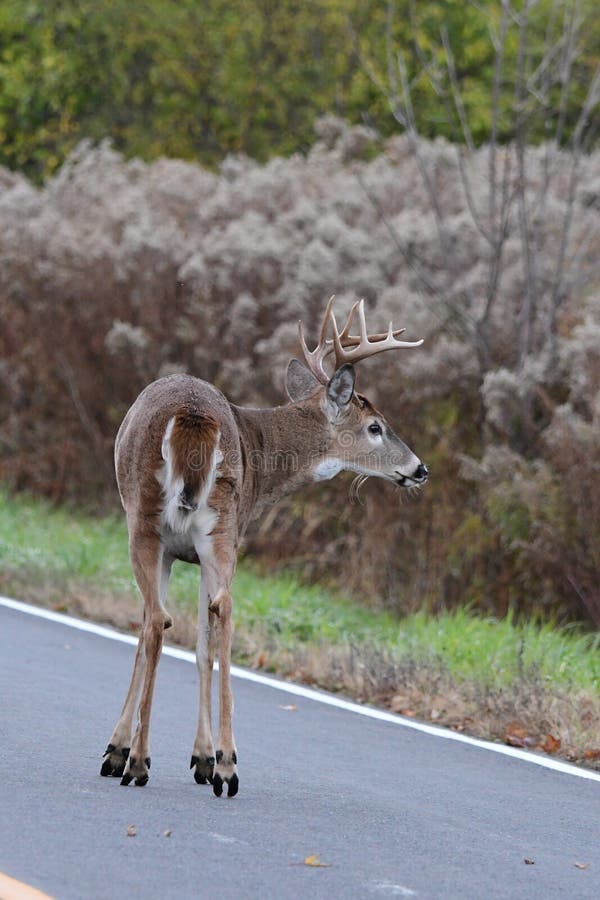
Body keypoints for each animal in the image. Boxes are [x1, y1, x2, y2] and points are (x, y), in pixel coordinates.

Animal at [100, 297, 428, 797]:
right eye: (376, 426)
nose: (420, 468)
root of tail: (195, 420)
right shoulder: (201, 546)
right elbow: (198, 645)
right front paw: (198, 758)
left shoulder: (178, 550)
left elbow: (173, 641)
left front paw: (133, 751)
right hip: (214, 527)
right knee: (214, 611)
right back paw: (216, 766)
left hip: (151, 523)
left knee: (162, 620)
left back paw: (148, 761)